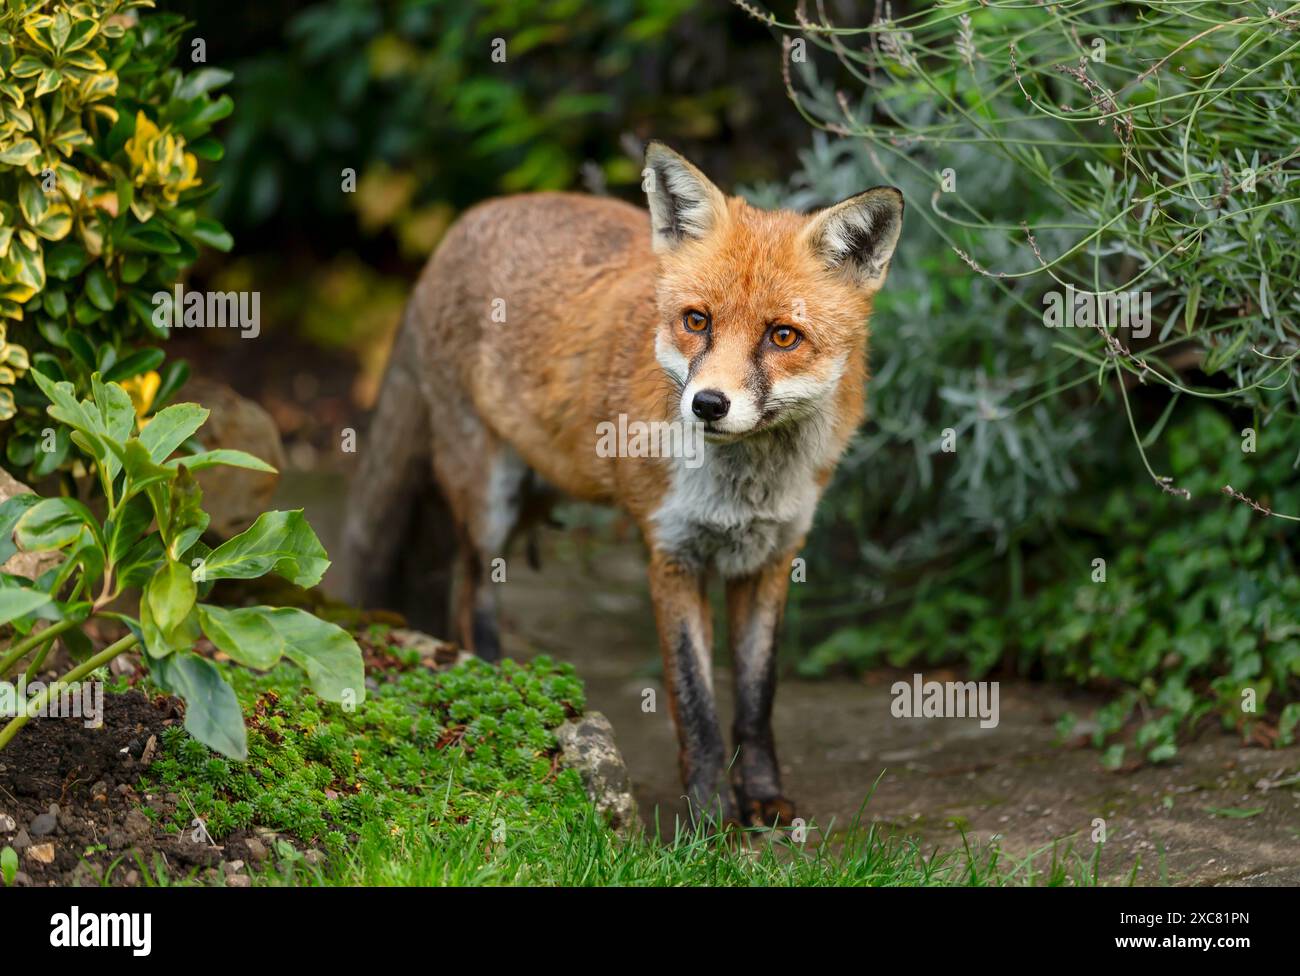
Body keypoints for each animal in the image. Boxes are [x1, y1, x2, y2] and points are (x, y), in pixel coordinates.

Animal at [341, 142, 903, 825]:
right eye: (697, 321)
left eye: (783, 336)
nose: (707, 404)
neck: (743, 487)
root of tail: (467, 221)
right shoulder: (671, 554)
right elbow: (694, 704)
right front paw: (707, 817)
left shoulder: (771, 557)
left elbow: (755, 698)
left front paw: (763, 799)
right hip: (489, 499)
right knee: (472, 592)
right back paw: (496, 681)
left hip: (541, 492)